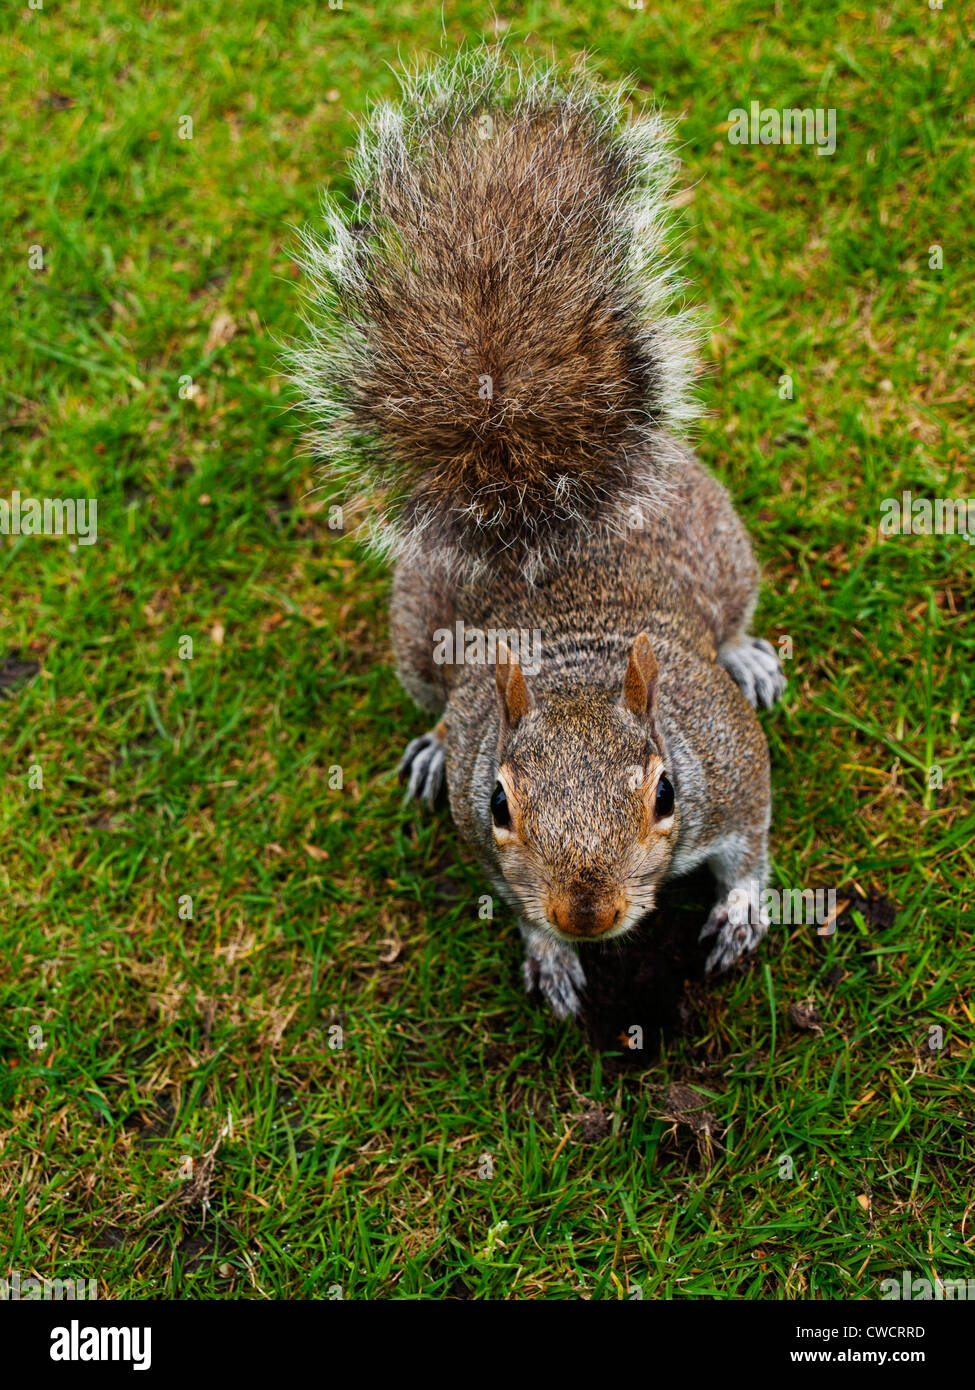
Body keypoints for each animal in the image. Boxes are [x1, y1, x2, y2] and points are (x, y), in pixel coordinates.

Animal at [293, 50, 786, 1020]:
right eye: (498, 805)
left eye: (666, 789)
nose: (584, 913)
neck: (579, 673)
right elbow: (508, 897)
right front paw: (550, 953)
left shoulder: (731, 766)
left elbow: (751, 843)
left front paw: (741, 912)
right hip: (415, 629)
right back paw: (426, 746)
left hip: (723, 545)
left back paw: (746, 654)